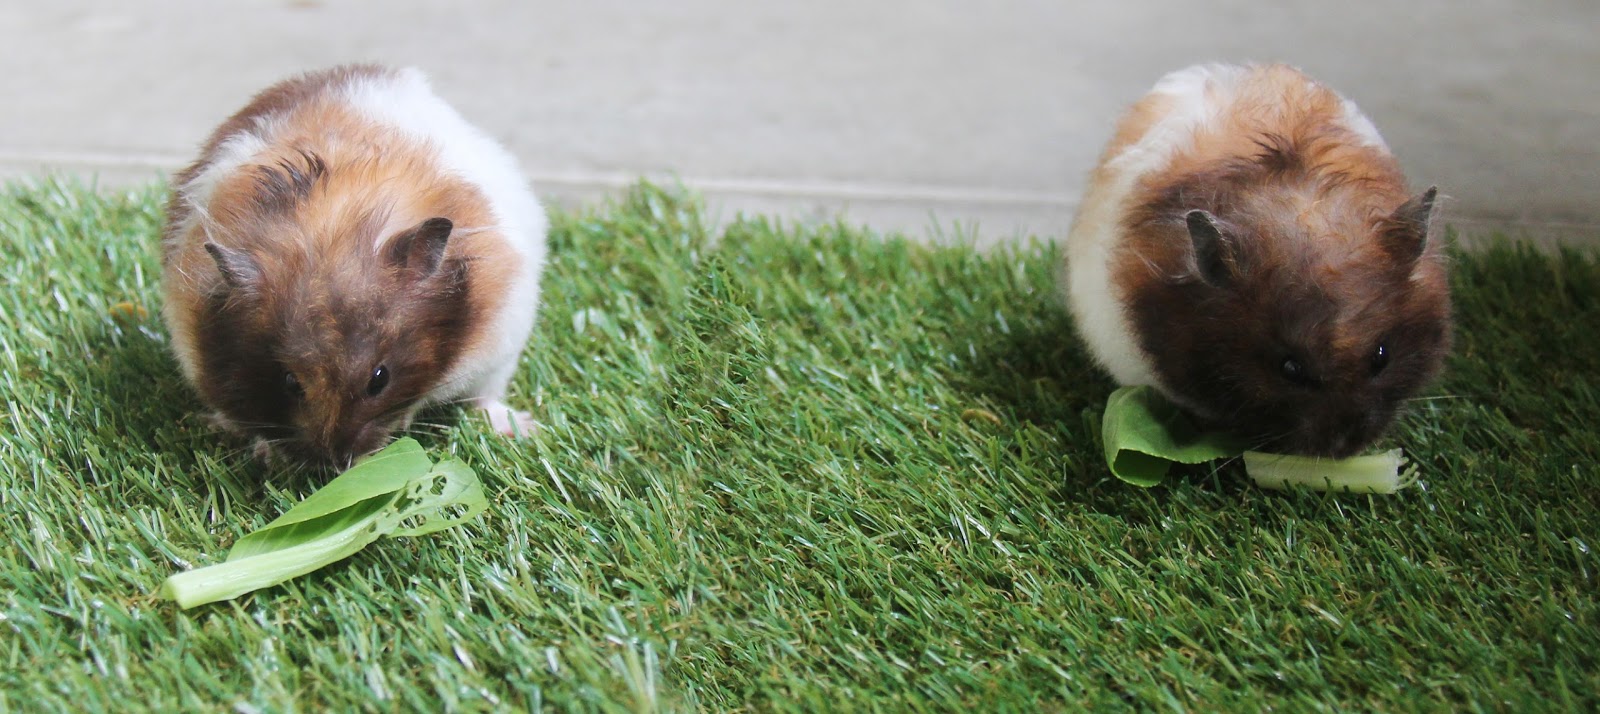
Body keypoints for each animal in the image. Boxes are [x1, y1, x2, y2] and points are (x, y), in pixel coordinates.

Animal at [161, 64, 547, 466]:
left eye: (380, 379)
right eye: (290, 382)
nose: (335, 460)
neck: (335, 236)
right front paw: (269, 452)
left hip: (505, 349)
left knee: (486, 397)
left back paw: (522, 429)